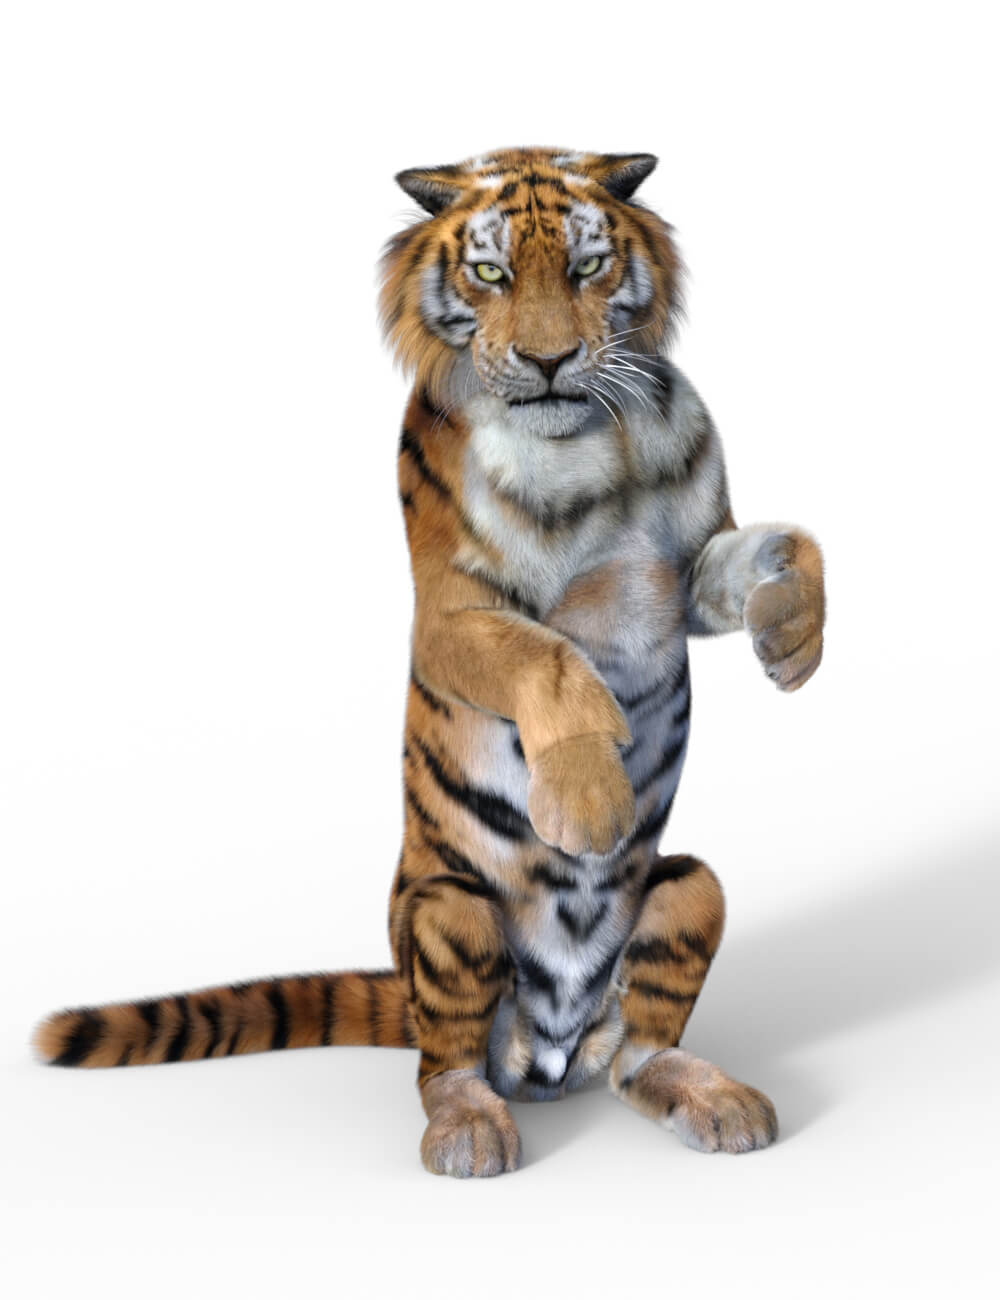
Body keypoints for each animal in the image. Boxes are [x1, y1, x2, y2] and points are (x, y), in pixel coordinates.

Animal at [34, 146, 825, 1178]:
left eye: (587, 267)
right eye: (490, 272)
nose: (547, 361)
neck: (591, 443)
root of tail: (555, 1059)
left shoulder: (687, 571)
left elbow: (785, 544)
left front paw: (794, 640)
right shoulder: (452, 611)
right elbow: (549, 660)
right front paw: (588, 804)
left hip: (692, 889)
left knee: (637, 1055)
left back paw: (712, 1097)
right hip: (447, 918)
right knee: (443, 1062)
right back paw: (469, 1131)